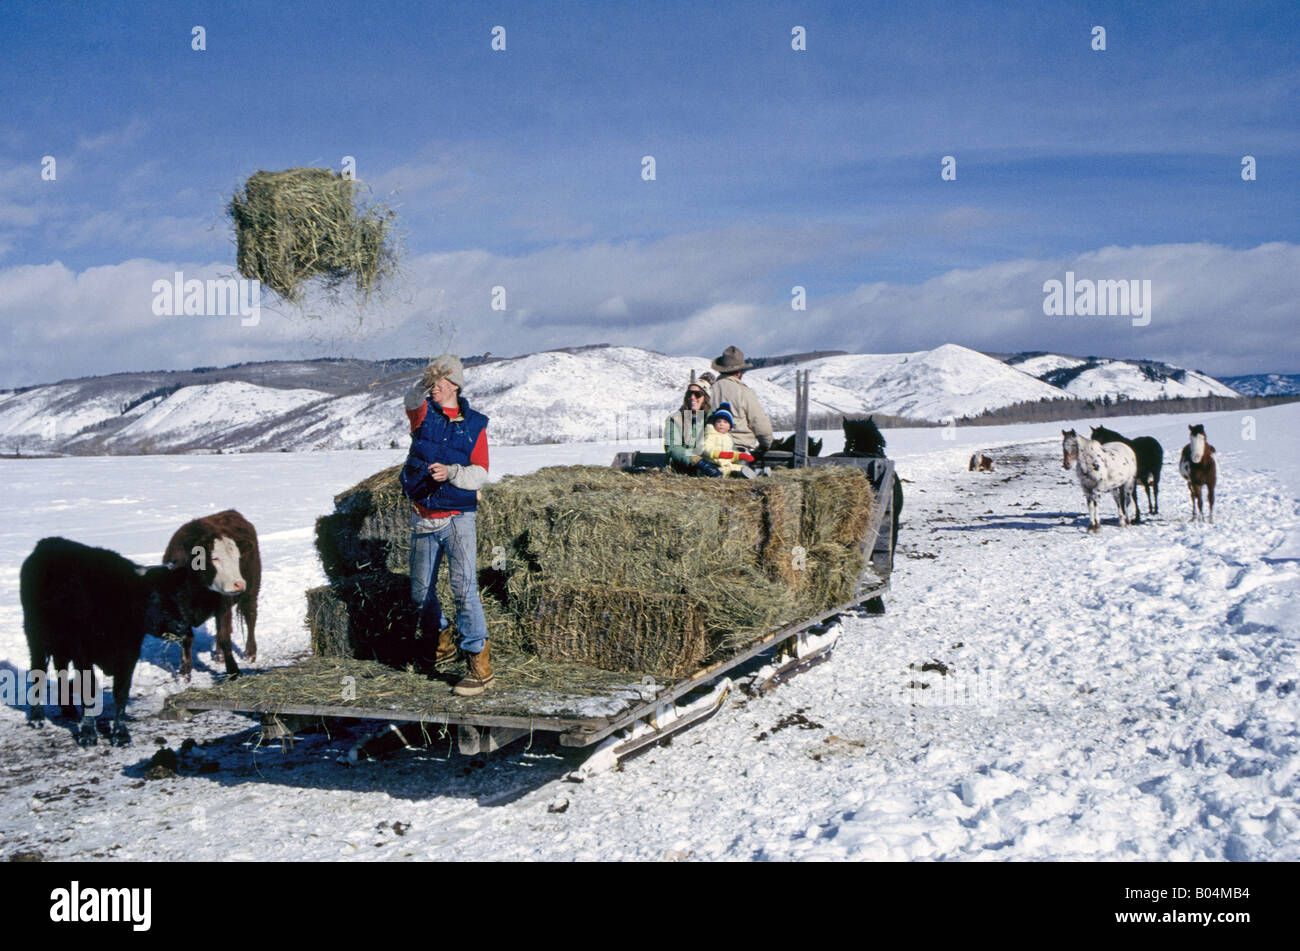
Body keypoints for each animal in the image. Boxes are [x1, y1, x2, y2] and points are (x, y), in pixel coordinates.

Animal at [20, 537, 211, 747]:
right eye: (153, 596)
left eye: (180, 594)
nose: (181, 625)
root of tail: (46, 543)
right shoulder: (83, 655)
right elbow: (89, 691)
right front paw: (88, 734)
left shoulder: (128, 656)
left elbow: (121, 694)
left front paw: (120, 735)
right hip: (37, 639)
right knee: (38, 672)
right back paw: (37, 718)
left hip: (62, 647)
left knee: (61, 672)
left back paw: (69, 710)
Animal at [163, 509, 260, 679]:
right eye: (214, 558)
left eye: (238, 558)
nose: (239, 584)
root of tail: (232, 512)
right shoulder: (181, 611)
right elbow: (186, 640)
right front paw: (184, 673)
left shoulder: (224, 605)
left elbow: (225, 637)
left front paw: (233, 670)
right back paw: (219, 656)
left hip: (252, 590)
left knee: (250, 617)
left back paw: (250, 653)